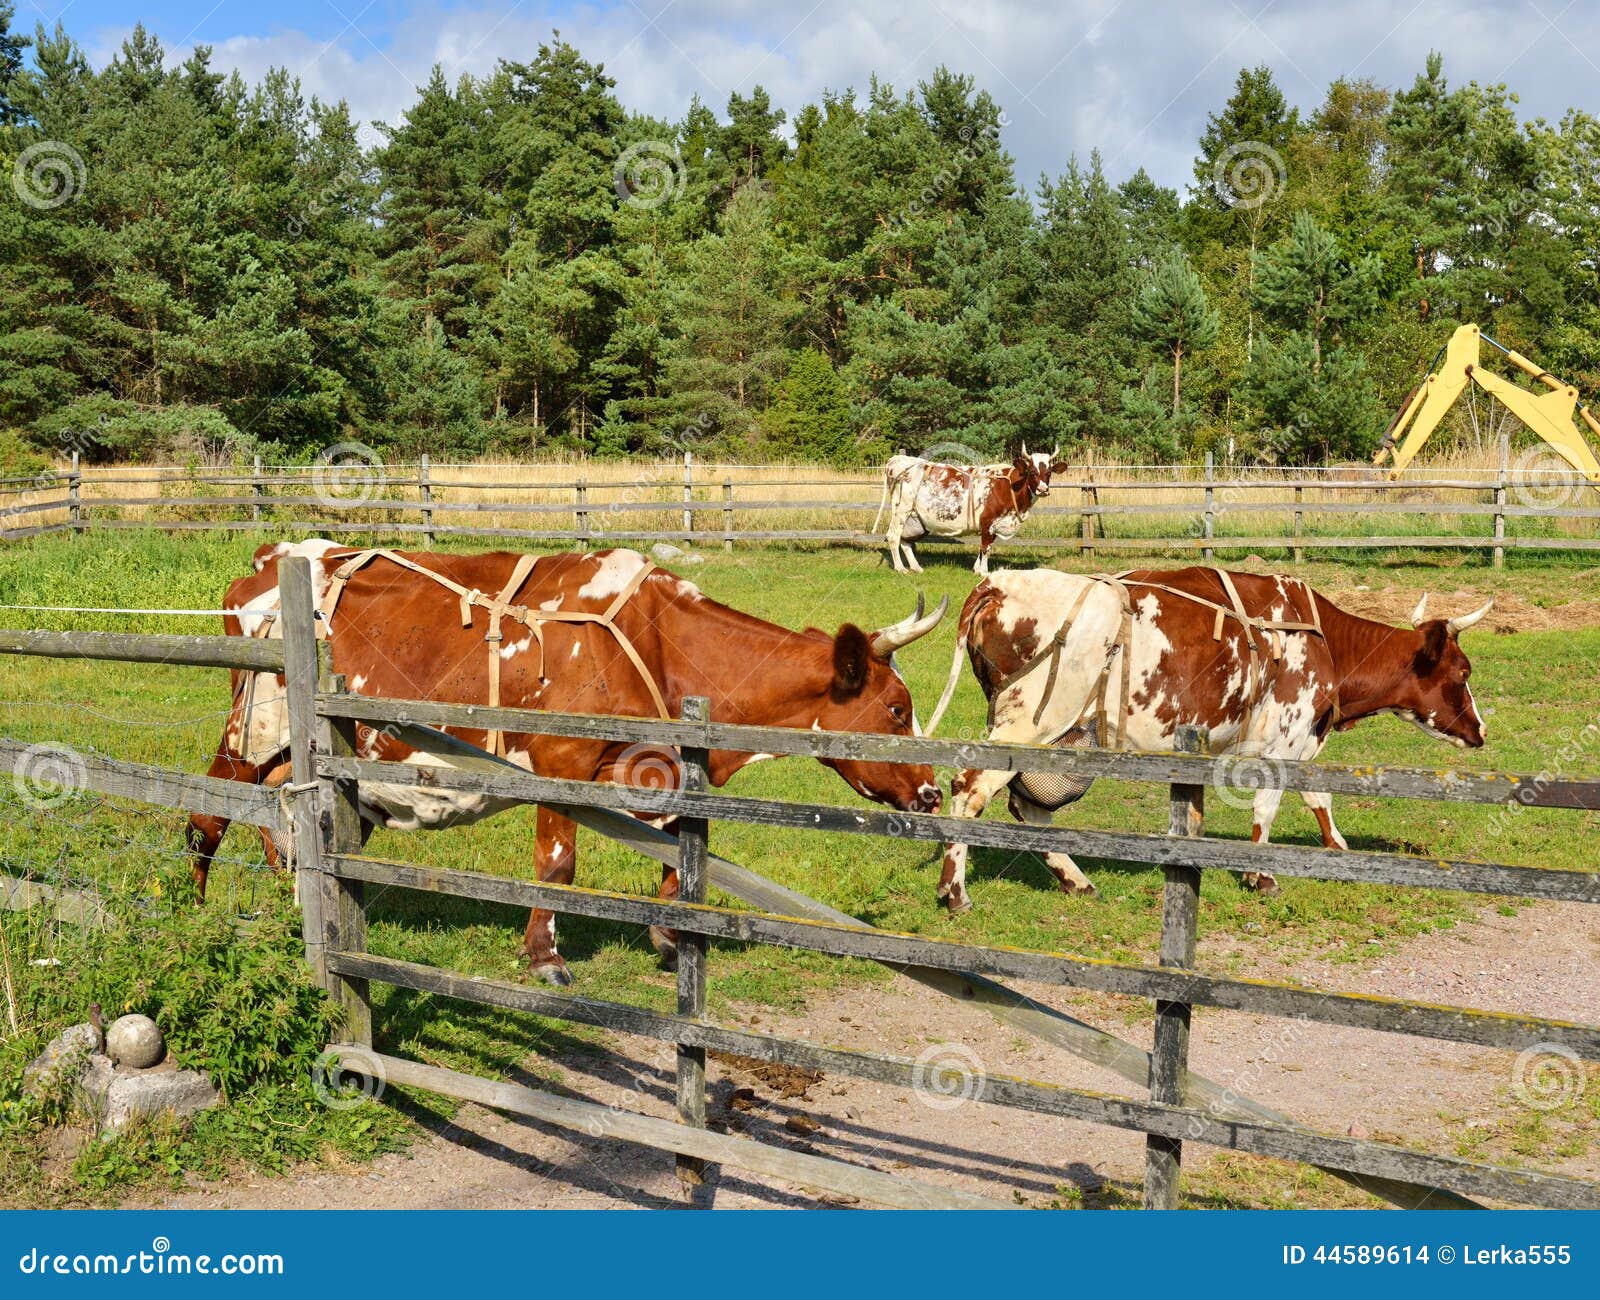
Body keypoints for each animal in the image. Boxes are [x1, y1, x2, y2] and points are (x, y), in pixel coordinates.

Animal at [188, 540, 948, 984]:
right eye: (896, 709)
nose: (932, 794)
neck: (659, 640)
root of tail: (272, 557)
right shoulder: (563, 761)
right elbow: (558, 867)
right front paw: (545, 956)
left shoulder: (663, 769)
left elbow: (682, 849)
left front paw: (668, 936)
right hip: (248, 729)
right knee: (208, 812)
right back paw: (193, 914)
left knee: (285, 817)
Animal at [872, 448, 1060, 576]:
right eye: (1032, 471)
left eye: (1049, 472)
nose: (1043, 489)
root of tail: (897, 460)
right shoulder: (988, 521)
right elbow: (986, 547)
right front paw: (983, 572)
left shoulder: (995, 524)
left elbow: (985, 546)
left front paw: (977, 568)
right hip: (901, 510)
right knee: (893, 536)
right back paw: (900, 568)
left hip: (915, 518)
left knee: (906, 541)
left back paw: (916, 567)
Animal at [922, 566, 1492, 911]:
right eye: (1463, 671)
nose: (1481, 730)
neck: (1325, 640)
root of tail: (997, 583)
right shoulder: (1284, 741)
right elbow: (1267, 808)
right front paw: (1261, 876)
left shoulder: (1292, 743)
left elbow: (1317, 797)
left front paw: (1338, 850)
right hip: (1027, 725)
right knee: (970, 790)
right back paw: (954, 892)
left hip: (1061, 736)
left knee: (1027, 807)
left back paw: (1075, 879)